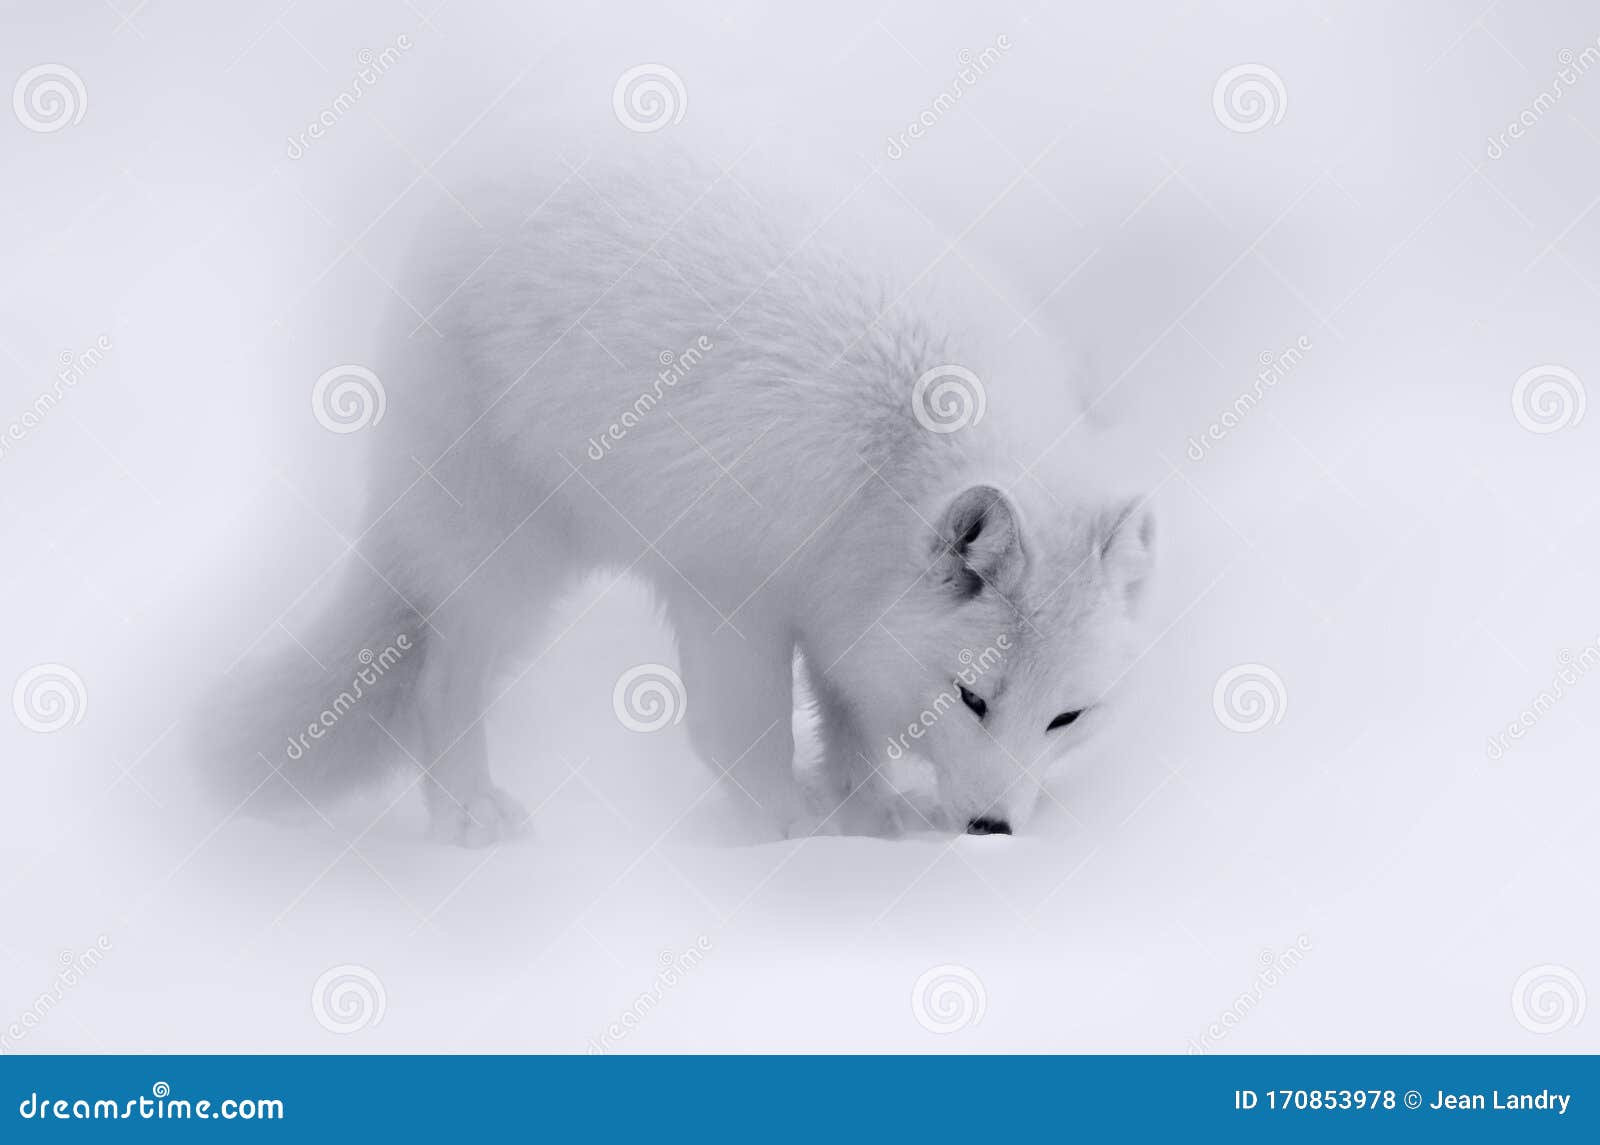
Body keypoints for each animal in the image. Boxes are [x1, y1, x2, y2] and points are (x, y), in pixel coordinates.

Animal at [210, 152, 1156, 847]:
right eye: (970, 698)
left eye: (1066, 716)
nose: (990, 830)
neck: (895, 451)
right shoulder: (730, 585)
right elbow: (736, 737)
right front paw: (795, 829)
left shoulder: (843, 603)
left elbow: (849, 716)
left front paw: (872, 814)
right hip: (507, 558)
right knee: (442, 683)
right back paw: (468, 814)